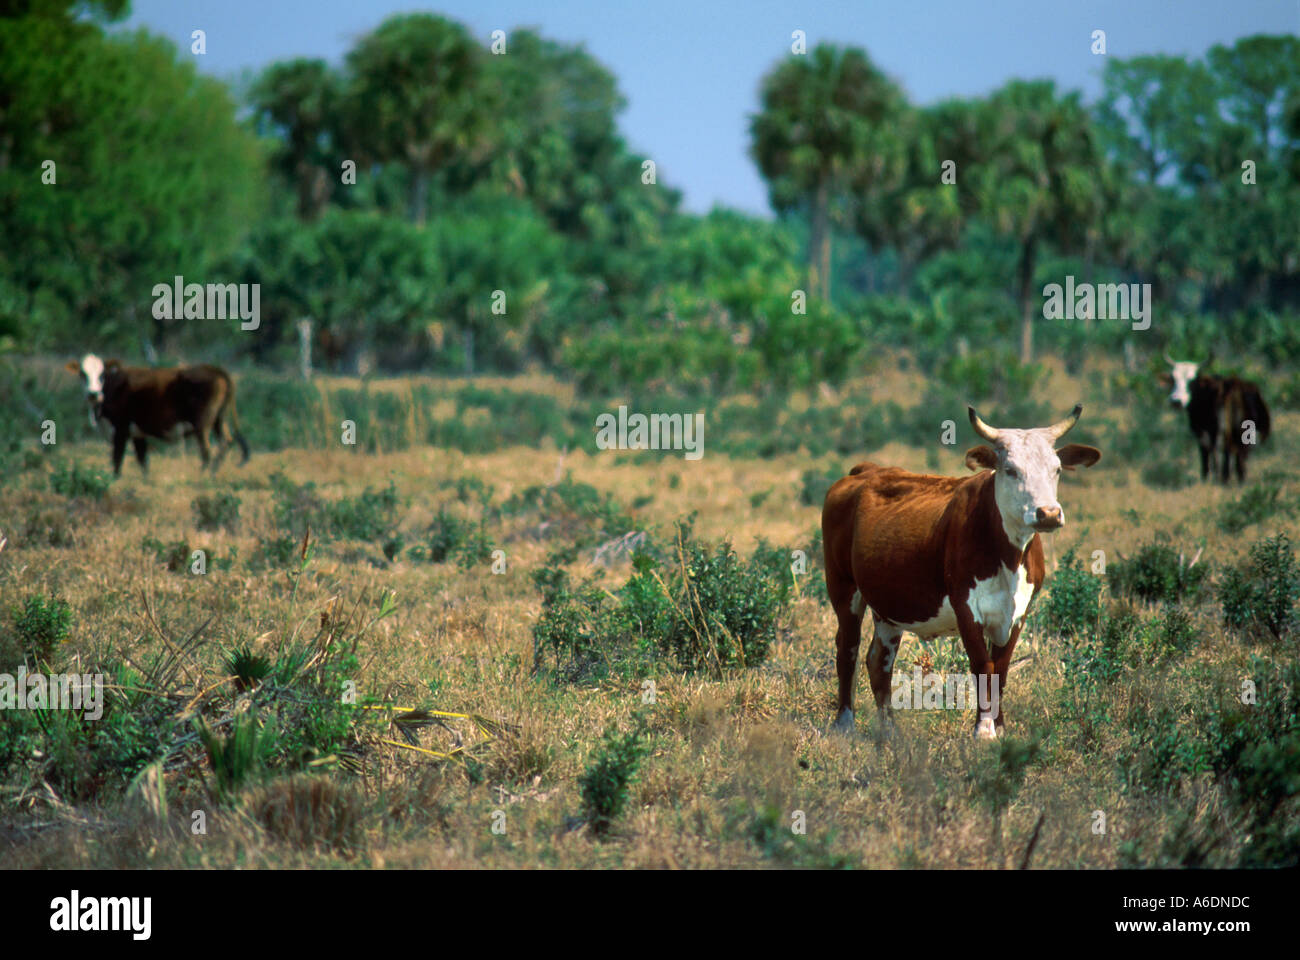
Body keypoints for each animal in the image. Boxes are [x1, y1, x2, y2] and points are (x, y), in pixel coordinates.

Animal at [66, 353, 250, 475]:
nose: (92, 394)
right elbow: (143, 461)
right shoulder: (137, 433)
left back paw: (202, 474)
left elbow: (117, 461)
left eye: (102, 374)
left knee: (207, 450)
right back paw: (213, 473)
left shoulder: (121, 430)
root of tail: (215, 369)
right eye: (82, 374)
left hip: (202, 423)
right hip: (219, 419)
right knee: (226, 442)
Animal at [822, 405, 1101, 740]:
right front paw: (983, 730)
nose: (1048, 514)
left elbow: (1000, 671)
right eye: (1010, 470)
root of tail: (867, 470)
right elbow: (983, 667)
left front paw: (1000, 727)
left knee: (879, 661)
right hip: (843, 587)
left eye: (1057, 469)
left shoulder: (1019, 612)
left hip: (888, 605)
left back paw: (890, 729)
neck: (1009, 557)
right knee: (846, 650)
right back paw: (844, 722)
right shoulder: (966, 608)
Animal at [1160, 353, 1270, 484]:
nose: (1176, 401)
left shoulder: (1206, 432)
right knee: (1239, 458)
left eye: (1192, 381)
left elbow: (1208, 456)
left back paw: (1224, 478)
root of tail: (1235, 386)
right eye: (1173, 379)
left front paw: (1208, 478)